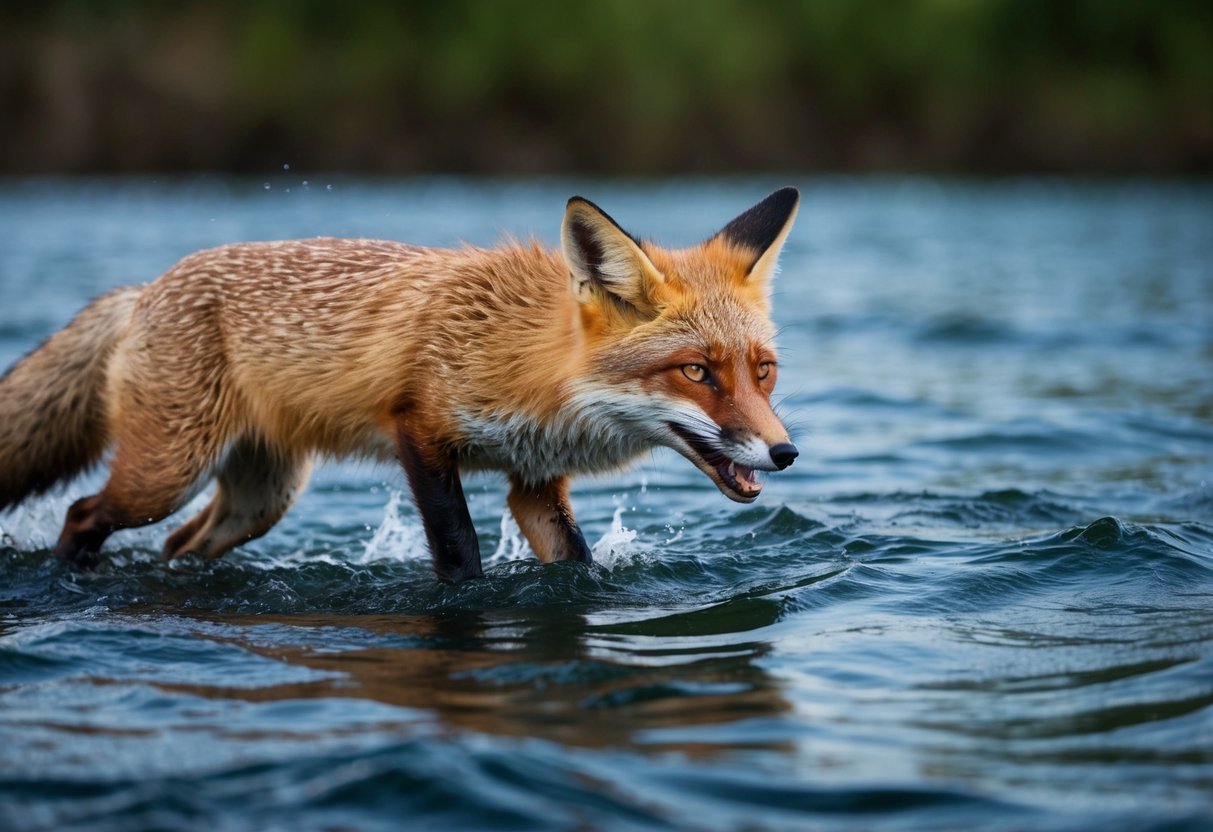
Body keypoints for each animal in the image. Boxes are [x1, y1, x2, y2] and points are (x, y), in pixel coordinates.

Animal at [0, 188, 800, 582]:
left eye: (762, 371)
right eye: (695, 371)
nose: (784, 452)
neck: (532, 364)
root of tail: (143, 291)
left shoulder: (534, 482)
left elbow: (575, 562)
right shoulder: (419, 429)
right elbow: (460, 552)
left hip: (261, 498)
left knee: (178, 546)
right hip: (166, 474)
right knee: (83, 513)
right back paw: (65, 578)